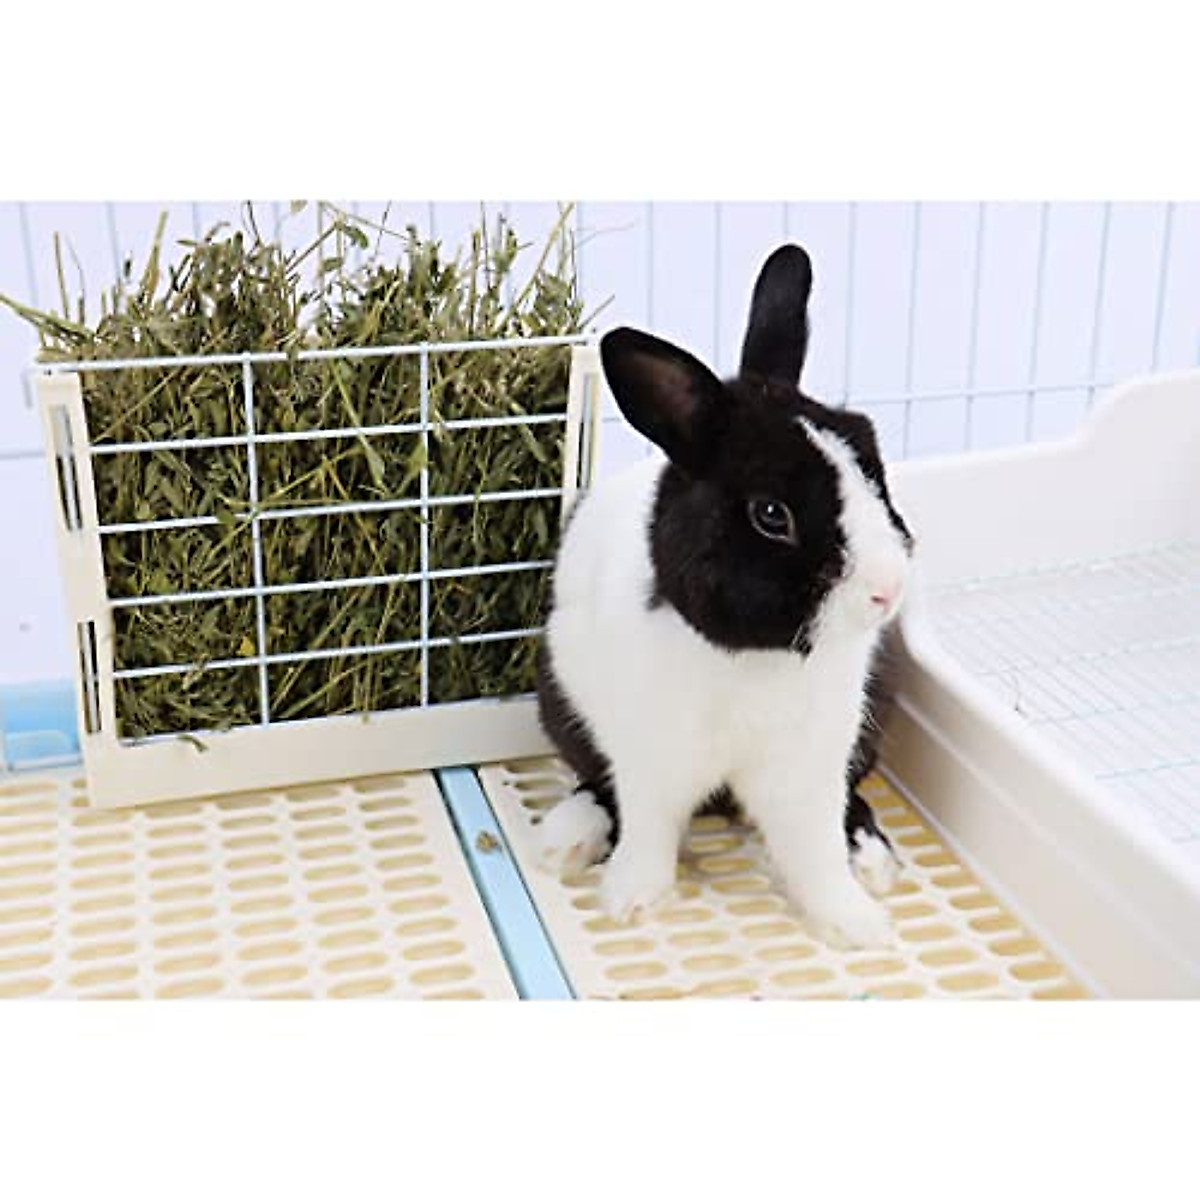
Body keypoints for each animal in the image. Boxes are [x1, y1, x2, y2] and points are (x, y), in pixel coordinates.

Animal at [535, 243, 914, 949]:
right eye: (771, 514)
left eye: (873, 466)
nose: (888, 589)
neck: (753, 659)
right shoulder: (651, 756)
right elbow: (647, 827)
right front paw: (632, 901)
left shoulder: (812, 765)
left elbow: (817, 851)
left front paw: (857, 924)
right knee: (597, 785)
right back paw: (565, 841)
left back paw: (874, 858)